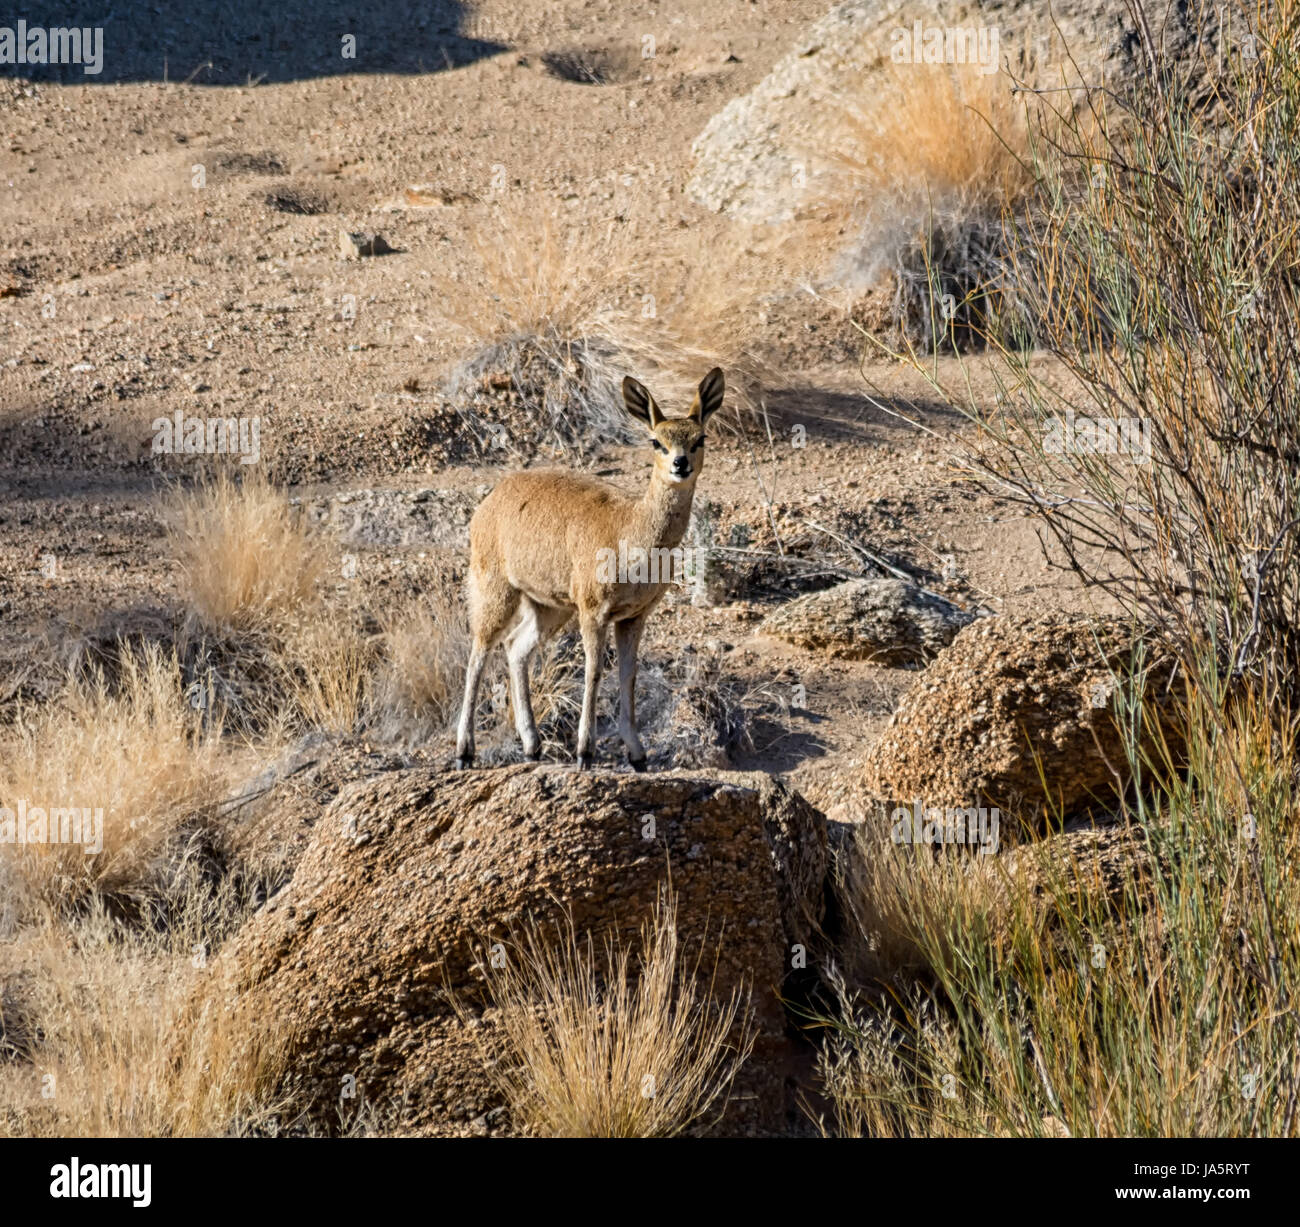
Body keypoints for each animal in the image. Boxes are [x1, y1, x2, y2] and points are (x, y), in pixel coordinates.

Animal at [454, 367, 725, 771]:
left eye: (700, 437)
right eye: (656, 441)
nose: (680, 464)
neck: (631, 534)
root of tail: (488, 503)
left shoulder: (634, 616)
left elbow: (628, 675)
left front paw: (638, 755)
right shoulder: (594, 610)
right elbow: (595, 671)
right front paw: (585, 752)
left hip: (549, 606)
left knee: (516, 647)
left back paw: (532, 745)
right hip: (498, 589)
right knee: (478, 652)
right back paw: (464, 752)